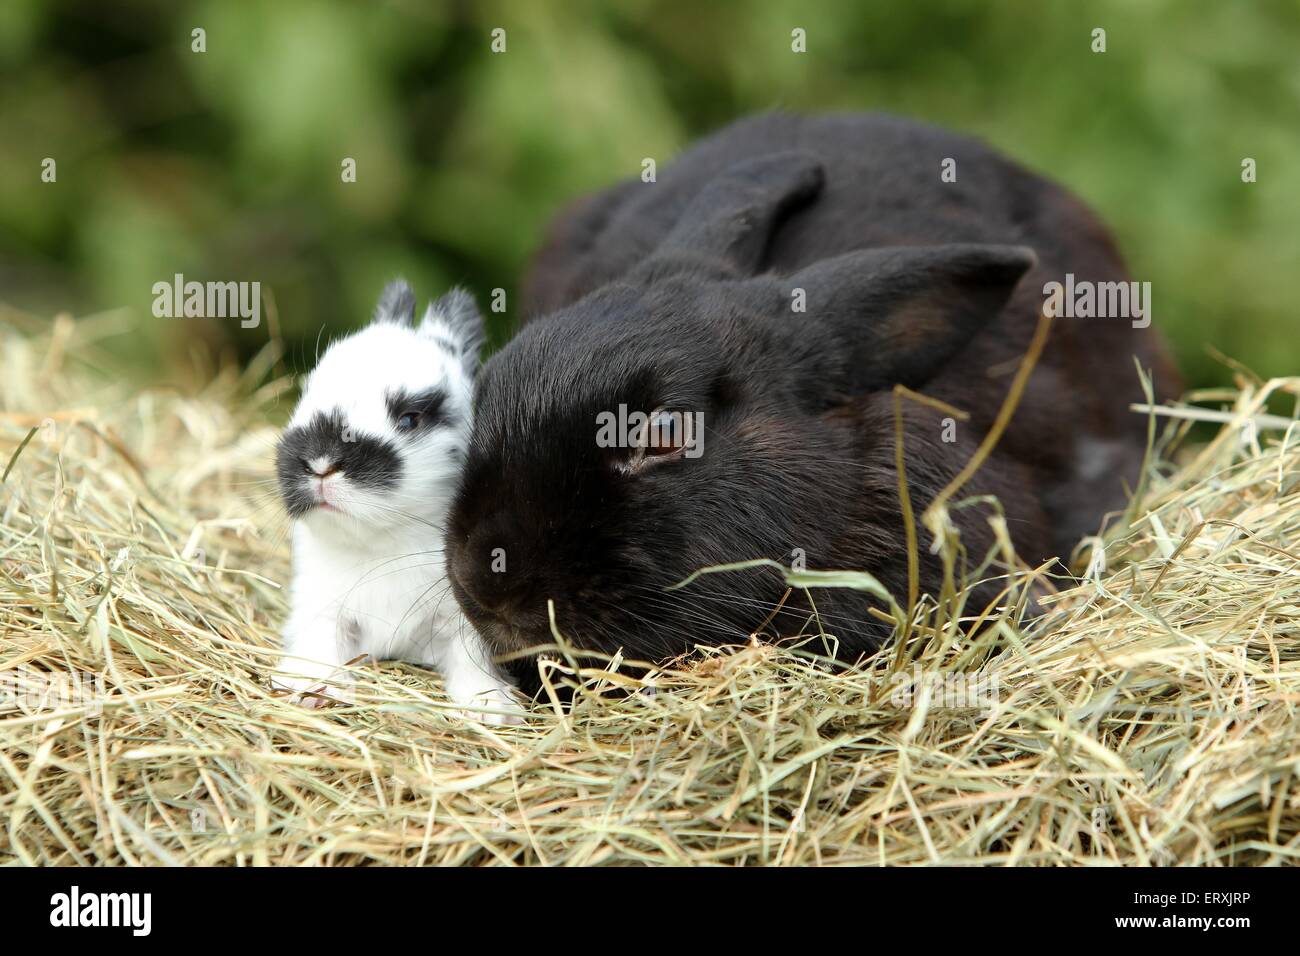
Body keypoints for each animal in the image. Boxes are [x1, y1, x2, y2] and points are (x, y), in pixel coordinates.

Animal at [272, 280, 522, 723]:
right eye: (308, 393)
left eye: (410, 418)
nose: (319, 463)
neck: (383, 542)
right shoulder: (322, 607)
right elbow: (322, 642)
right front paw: (313, 688)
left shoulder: (462, 616)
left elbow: (471, 657)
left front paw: (490, 707)